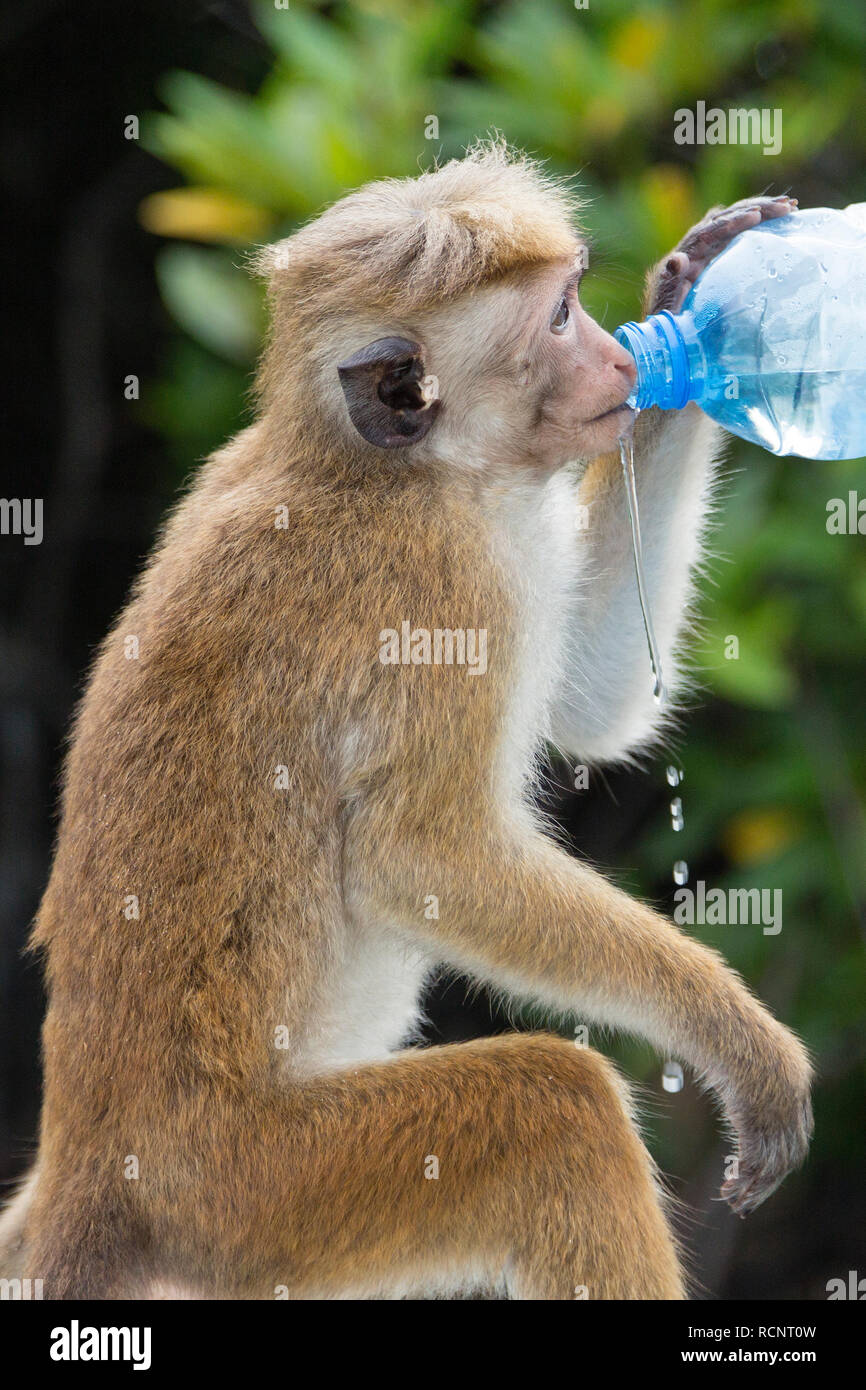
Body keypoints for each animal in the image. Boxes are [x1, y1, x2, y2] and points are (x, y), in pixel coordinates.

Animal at [0, 143, 812, 1300]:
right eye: (557, 318)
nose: (619, 360)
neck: (394, 470)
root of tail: (91, 1171)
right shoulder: (440, 583)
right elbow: (421, 852)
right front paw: (728, 1030)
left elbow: (590, 697)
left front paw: (690, 298)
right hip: (250, 1199)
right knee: (553, 1109)